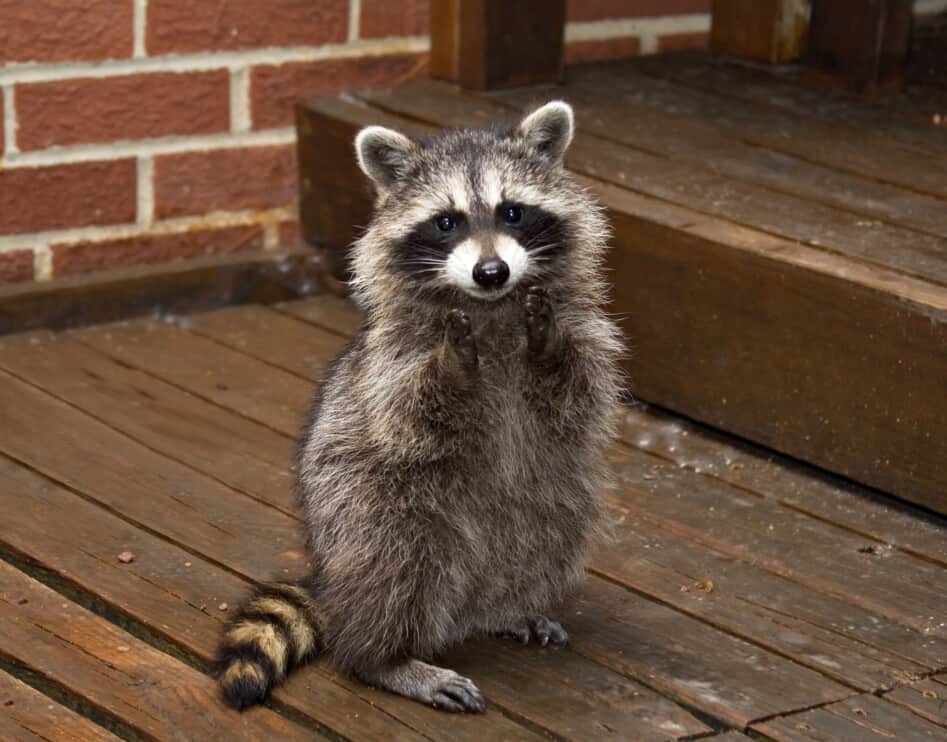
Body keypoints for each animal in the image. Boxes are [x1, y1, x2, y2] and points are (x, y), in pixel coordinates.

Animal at [217, 101, 624, 713]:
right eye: (446, 221)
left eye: (512, 212)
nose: (491, 272)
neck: (491, 308)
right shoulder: (391, 361)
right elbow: (409, 417)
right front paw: (453, 368)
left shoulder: (586, 328)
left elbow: (581, 395)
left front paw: (549, 346)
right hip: (370, 503)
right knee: (398, 565)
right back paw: (383, 658)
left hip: (550, 493)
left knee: (553, 533)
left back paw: (502, 607)